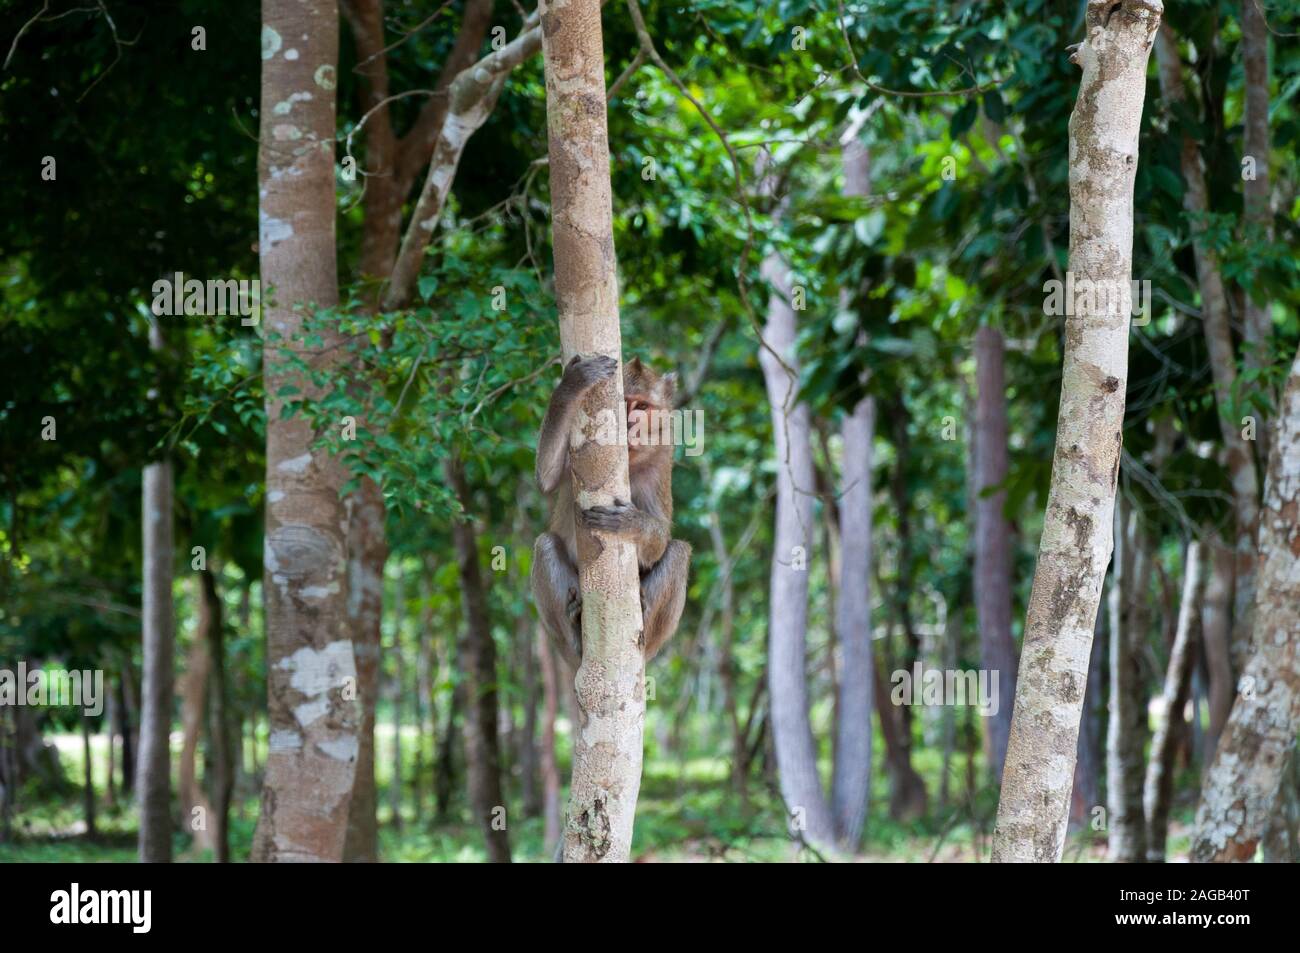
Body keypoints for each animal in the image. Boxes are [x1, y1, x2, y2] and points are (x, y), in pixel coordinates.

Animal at [531, 354, 691, 672]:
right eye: (624, 403)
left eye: (642, 407)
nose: (629, 424)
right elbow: (546, 476)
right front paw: (571, 385)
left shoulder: (662, 458)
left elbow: (659, 541)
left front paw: (631, 523)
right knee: (544, 544)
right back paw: (575, 627)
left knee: (679, 552)